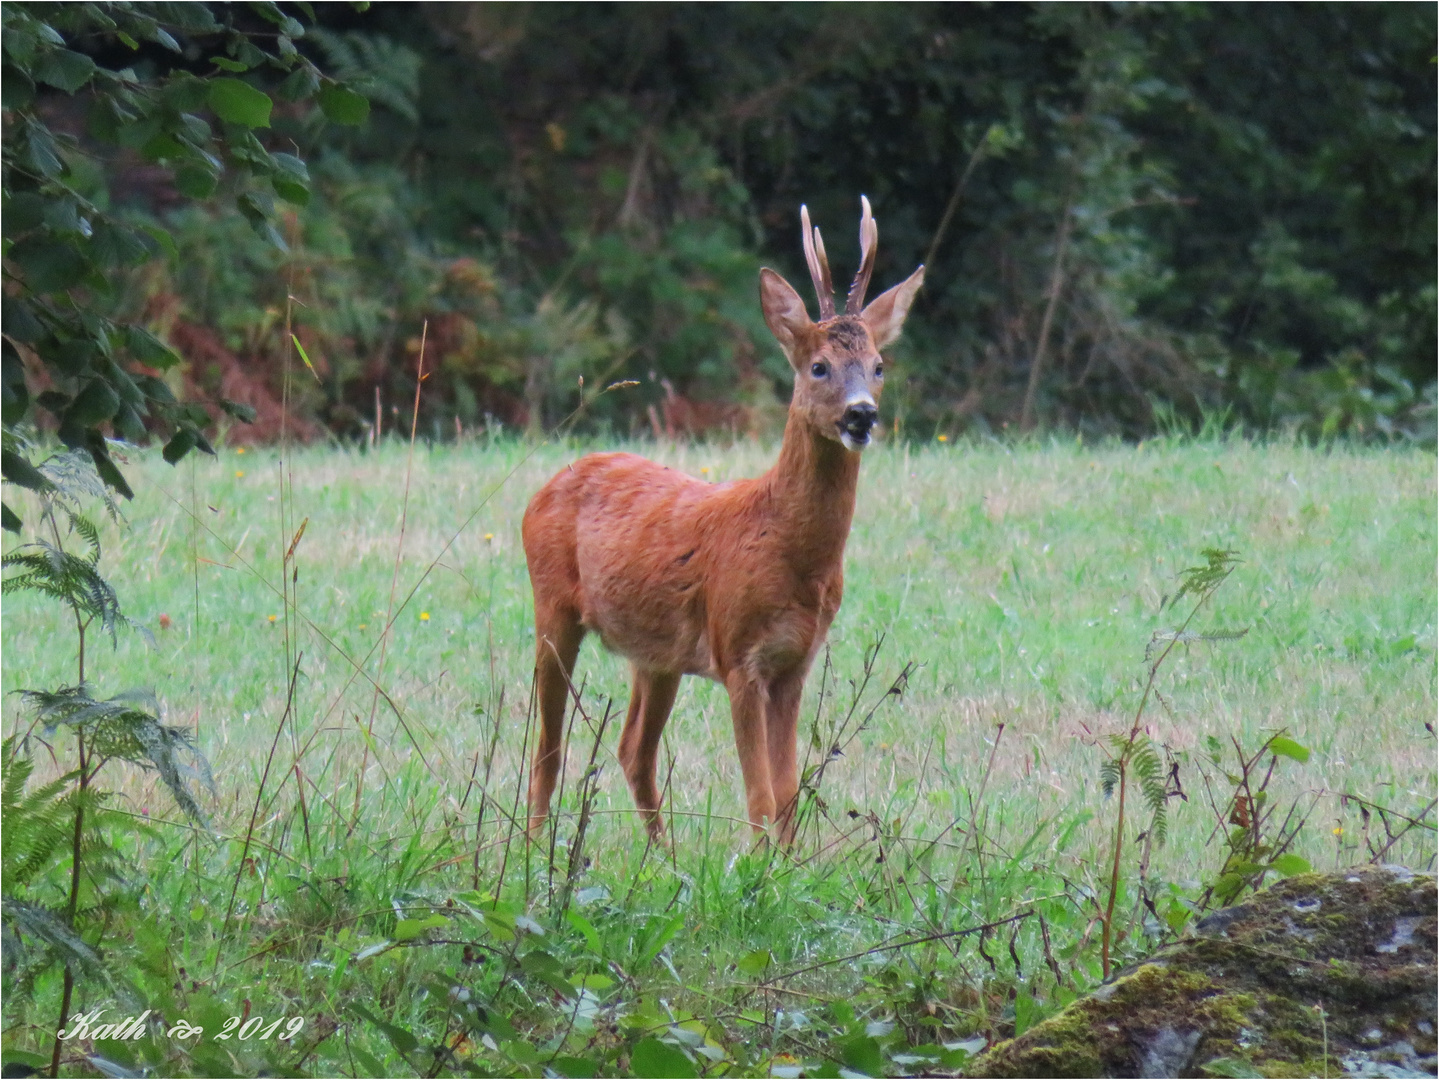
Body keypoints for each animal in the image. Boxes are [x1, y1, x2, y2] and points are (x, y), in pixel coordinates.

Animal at [523, 201, 926, 845]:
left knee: (634, 749)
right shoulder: (739, 652)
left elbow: (787, 794)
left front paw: (787, 866)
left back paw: (664, 857)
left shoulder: (795, 662)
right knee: (548, 747)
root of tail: (546, 488)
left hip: (656, 653)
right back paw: (535, 848)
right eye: (819, 366)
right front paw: (757, 866)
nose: (861, 415)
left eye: (878, 365)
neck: (791, 552)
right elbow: (760, 795)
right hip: (553, 604)